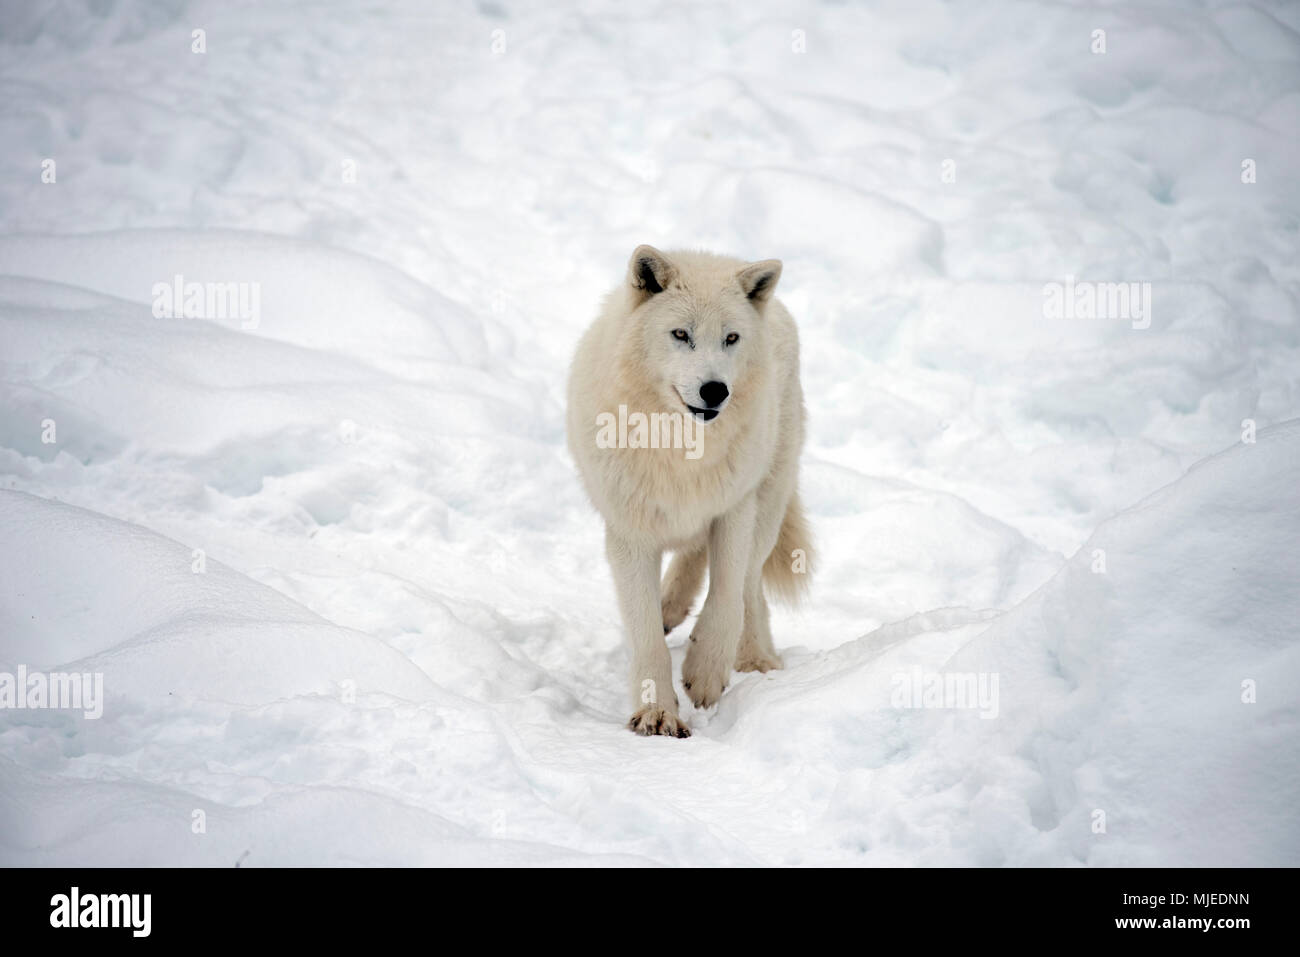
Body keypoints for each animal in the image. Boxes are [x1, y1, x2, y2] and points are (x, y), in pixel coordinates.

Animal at [567, 245, 812, 737]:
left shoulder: (734, 510)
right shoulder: (630, 532)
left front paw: (704, 672)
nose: (715, 390)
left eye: (731, 338)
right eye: (681, 334)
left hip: (767, 502)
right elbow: (644, 633)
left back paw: (757, 658)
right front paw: (657, 711)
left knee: (748, 585)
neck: (681, 449)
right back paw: (671, 607)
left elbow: (726, 596)